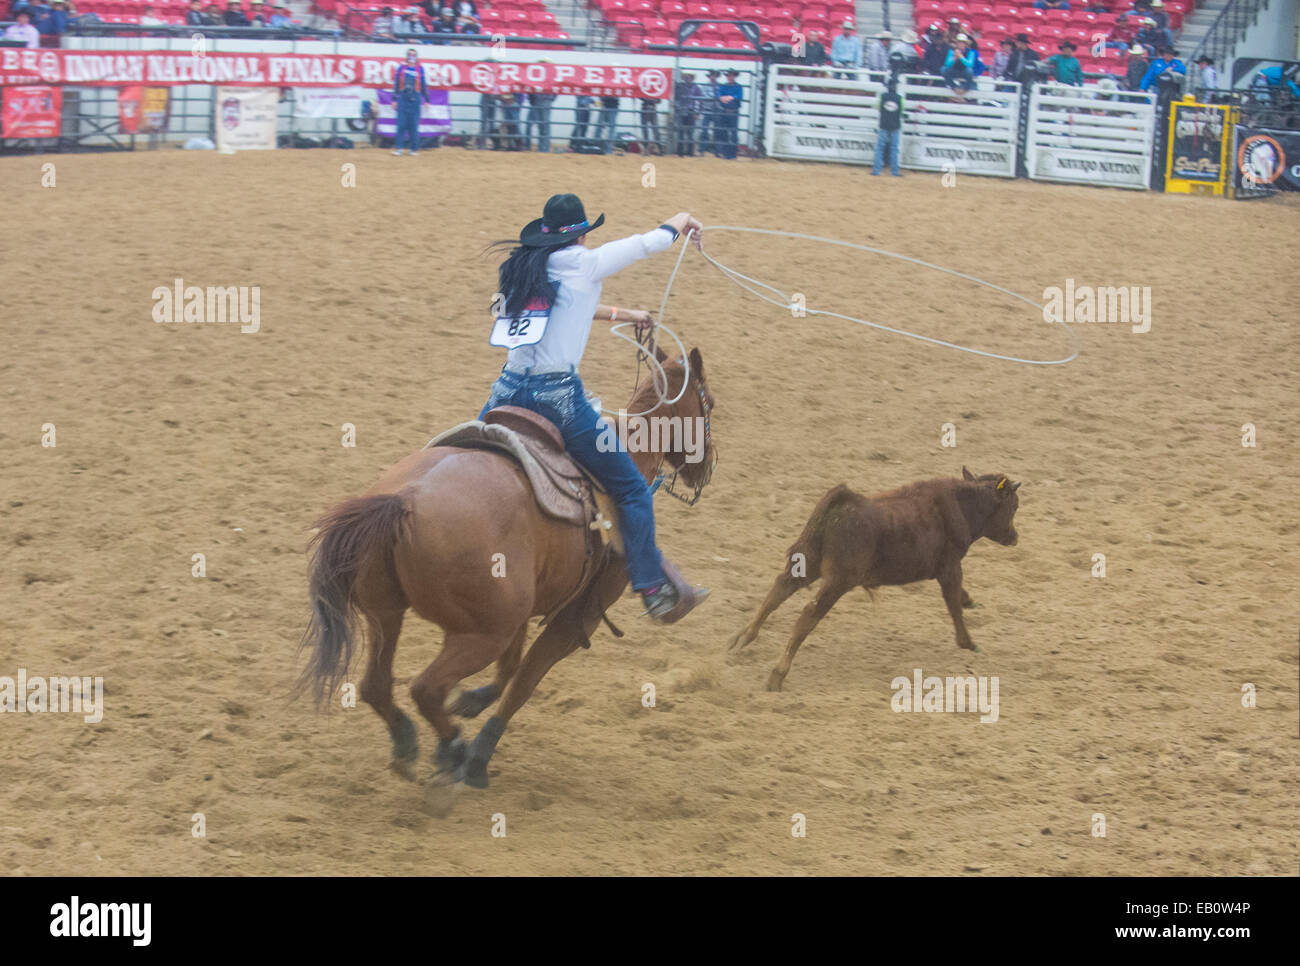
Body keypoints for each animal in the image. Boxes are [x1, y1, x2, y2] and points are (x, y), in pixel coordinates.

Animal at [726, 467, 1022, 691]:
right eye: (1012, 505)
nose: (1014, 536)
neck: (963, 505)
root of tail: (843, 501)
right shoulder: (950, 567)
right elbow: (953, 605)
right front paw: (968, 642)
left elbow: (958, 598)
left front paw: (970, 602)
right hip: (838, 582)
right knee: (808, 615)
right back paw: (777, 674)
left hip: (804, 564)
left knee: (777, 592)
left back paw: (742, 638)